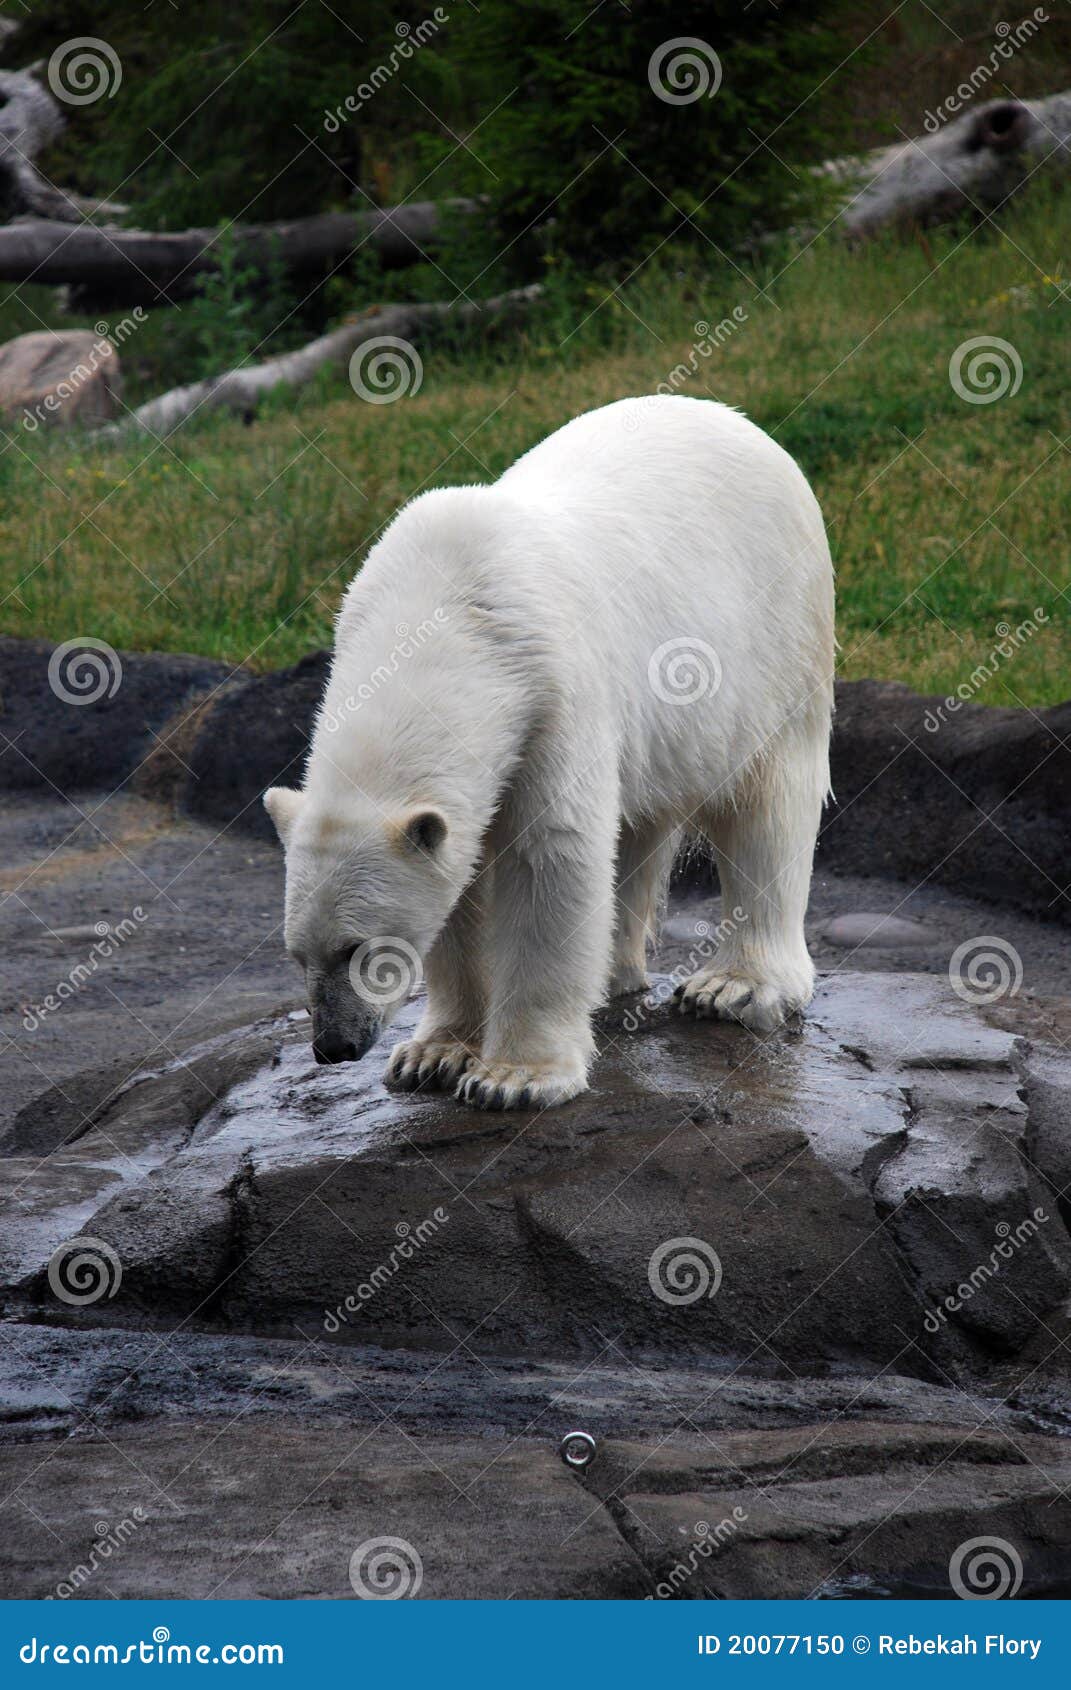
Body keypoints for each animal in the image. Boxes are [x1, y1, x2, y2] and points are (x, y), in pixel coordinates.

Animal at [264, 394, 835, 1111]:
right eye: (298, 955)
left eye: (362, 949)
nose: (333, 1046)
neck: (443, 611)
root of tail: (738, 419)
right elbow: (463, 887)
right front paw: (432, 1055)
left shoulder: (551, 690)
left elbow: (550, 856)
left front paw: (515, 1078)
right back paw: (615, 974)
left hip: (777, 638)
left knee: (769, 801)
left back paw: (736, 986)